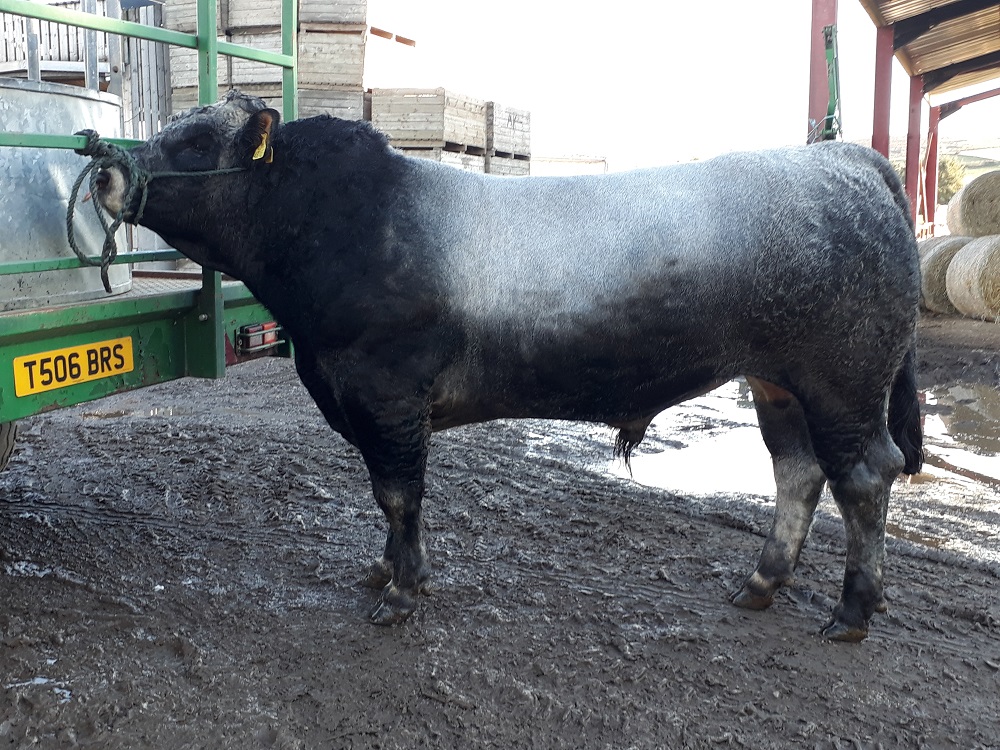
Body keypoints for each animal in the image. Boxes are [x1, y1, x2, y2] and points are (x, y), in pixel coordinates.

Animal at [87, 90, 923, 642]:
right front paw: (385, 570)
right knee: (798, 471)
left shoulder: (388, 393)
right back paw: (761, 582)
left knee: (863, 476)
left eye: (196, 144)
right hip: (777, 380)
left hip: (842, 378)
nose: (105, 171)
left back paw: (852, 611)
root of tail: (840, 157)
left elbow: (398, 494)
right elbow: (388, 500)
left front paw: (401, 590)